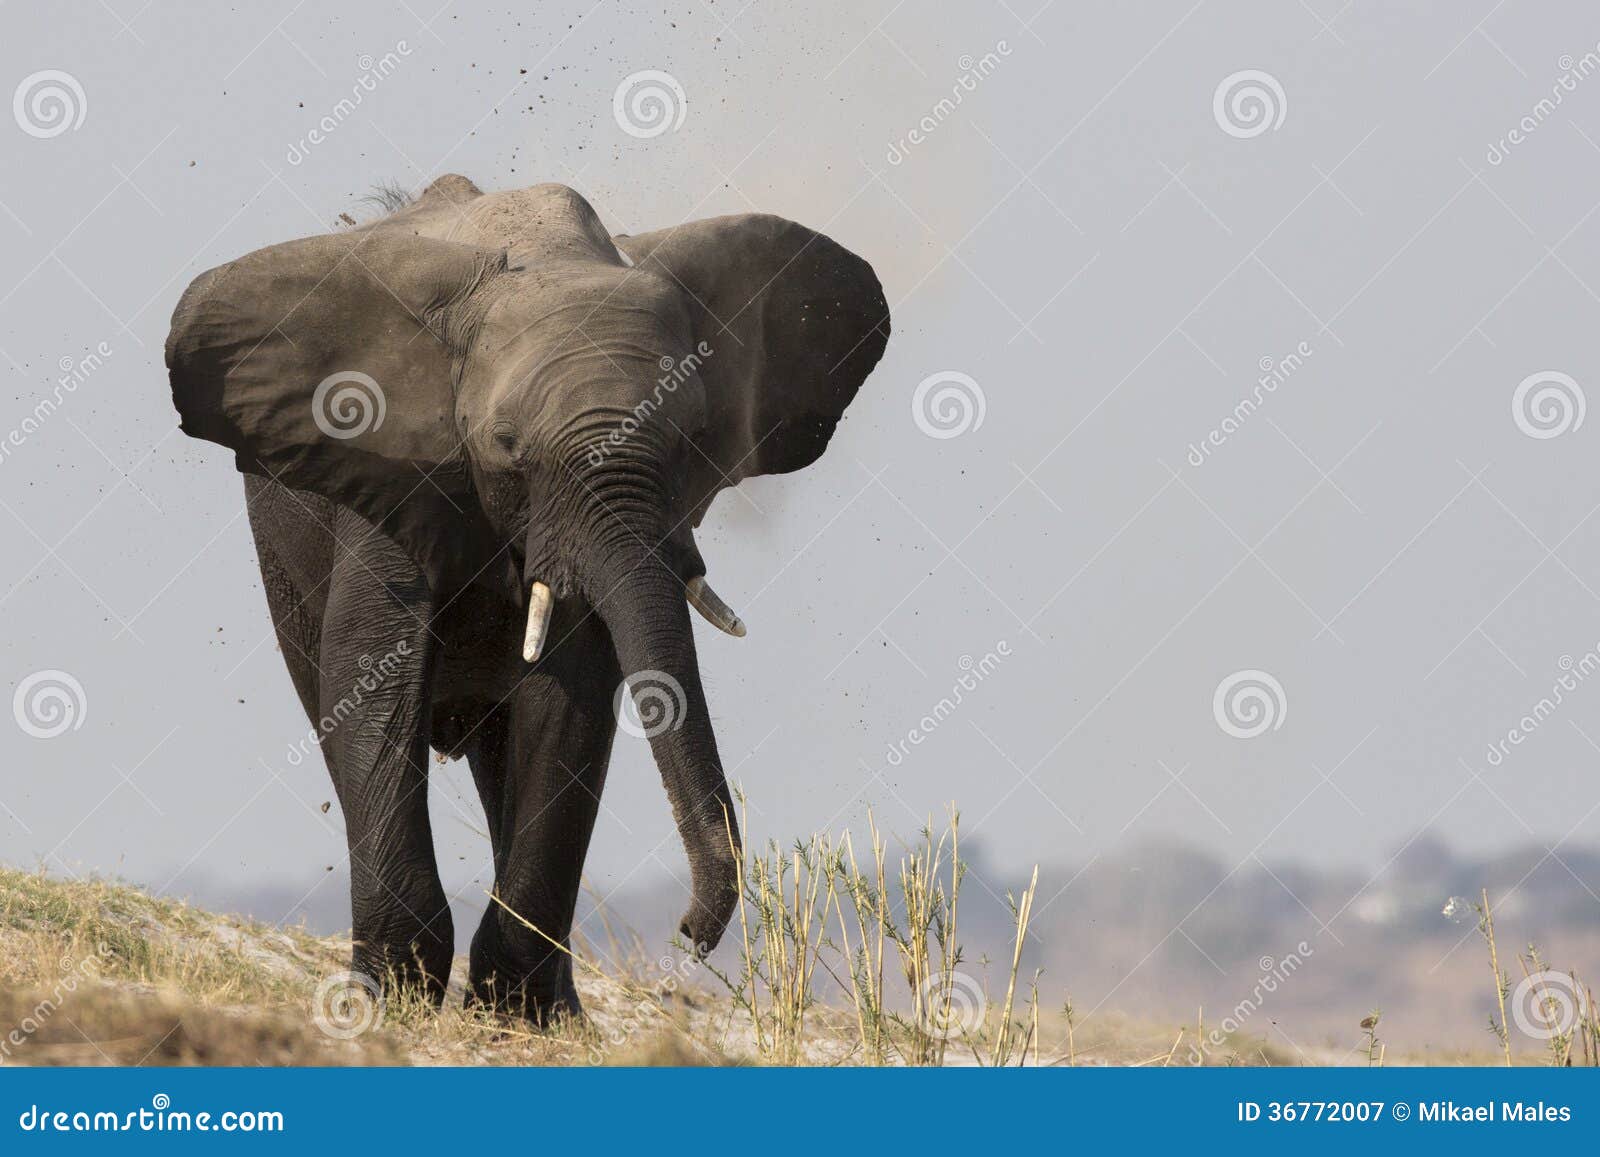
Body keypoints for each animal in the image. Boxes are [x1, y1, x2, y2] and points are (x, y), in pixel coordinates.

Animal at [164, 175, 890, 1021]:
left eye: (693, 438)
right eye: (507, 447)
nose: (690, 936)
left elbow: (569, 698)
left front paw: (522, 1013)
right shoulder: (385, 472)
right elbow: (369, 672)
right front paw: (395, 995)